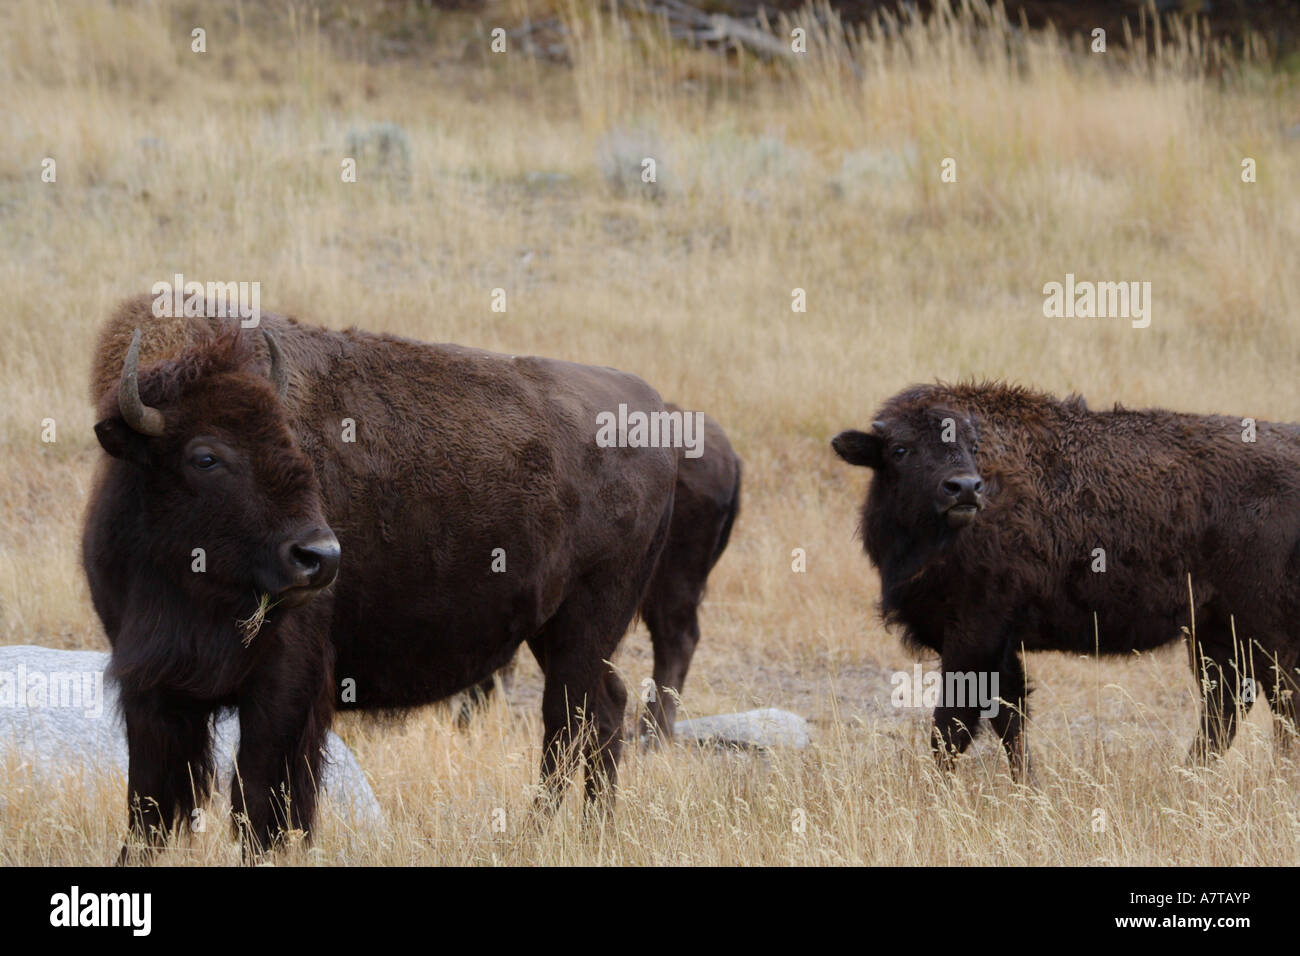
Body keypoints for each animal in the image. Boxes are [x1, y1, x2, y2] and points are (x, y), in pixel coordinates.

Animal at [84, 295, 684, 855]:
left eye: (293, 443)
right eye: (204, 457)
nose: (320, 557)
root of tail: (650, 407)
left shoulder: (283, 685)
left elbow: (261, 802)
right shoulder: (153, 687)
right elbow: (149, 807)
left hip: (585, 625)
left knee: (576, 720)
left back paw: (550, 836)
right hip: (558, 634)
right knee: (593, 715)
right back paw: (576, 834)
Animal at [833, 382, 1300, 780]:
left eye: (972, 446)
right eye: (900, 449)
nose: (965, 488)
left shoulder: (972, 635)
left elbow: (952, 725)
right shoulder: (999, 646)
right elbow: (1008, 718)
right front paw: (1027, 787)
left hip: (1263, 631)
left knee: (1281, 702)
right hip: (1213, 631)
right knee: (1227, 705)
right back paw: (1187, 778)